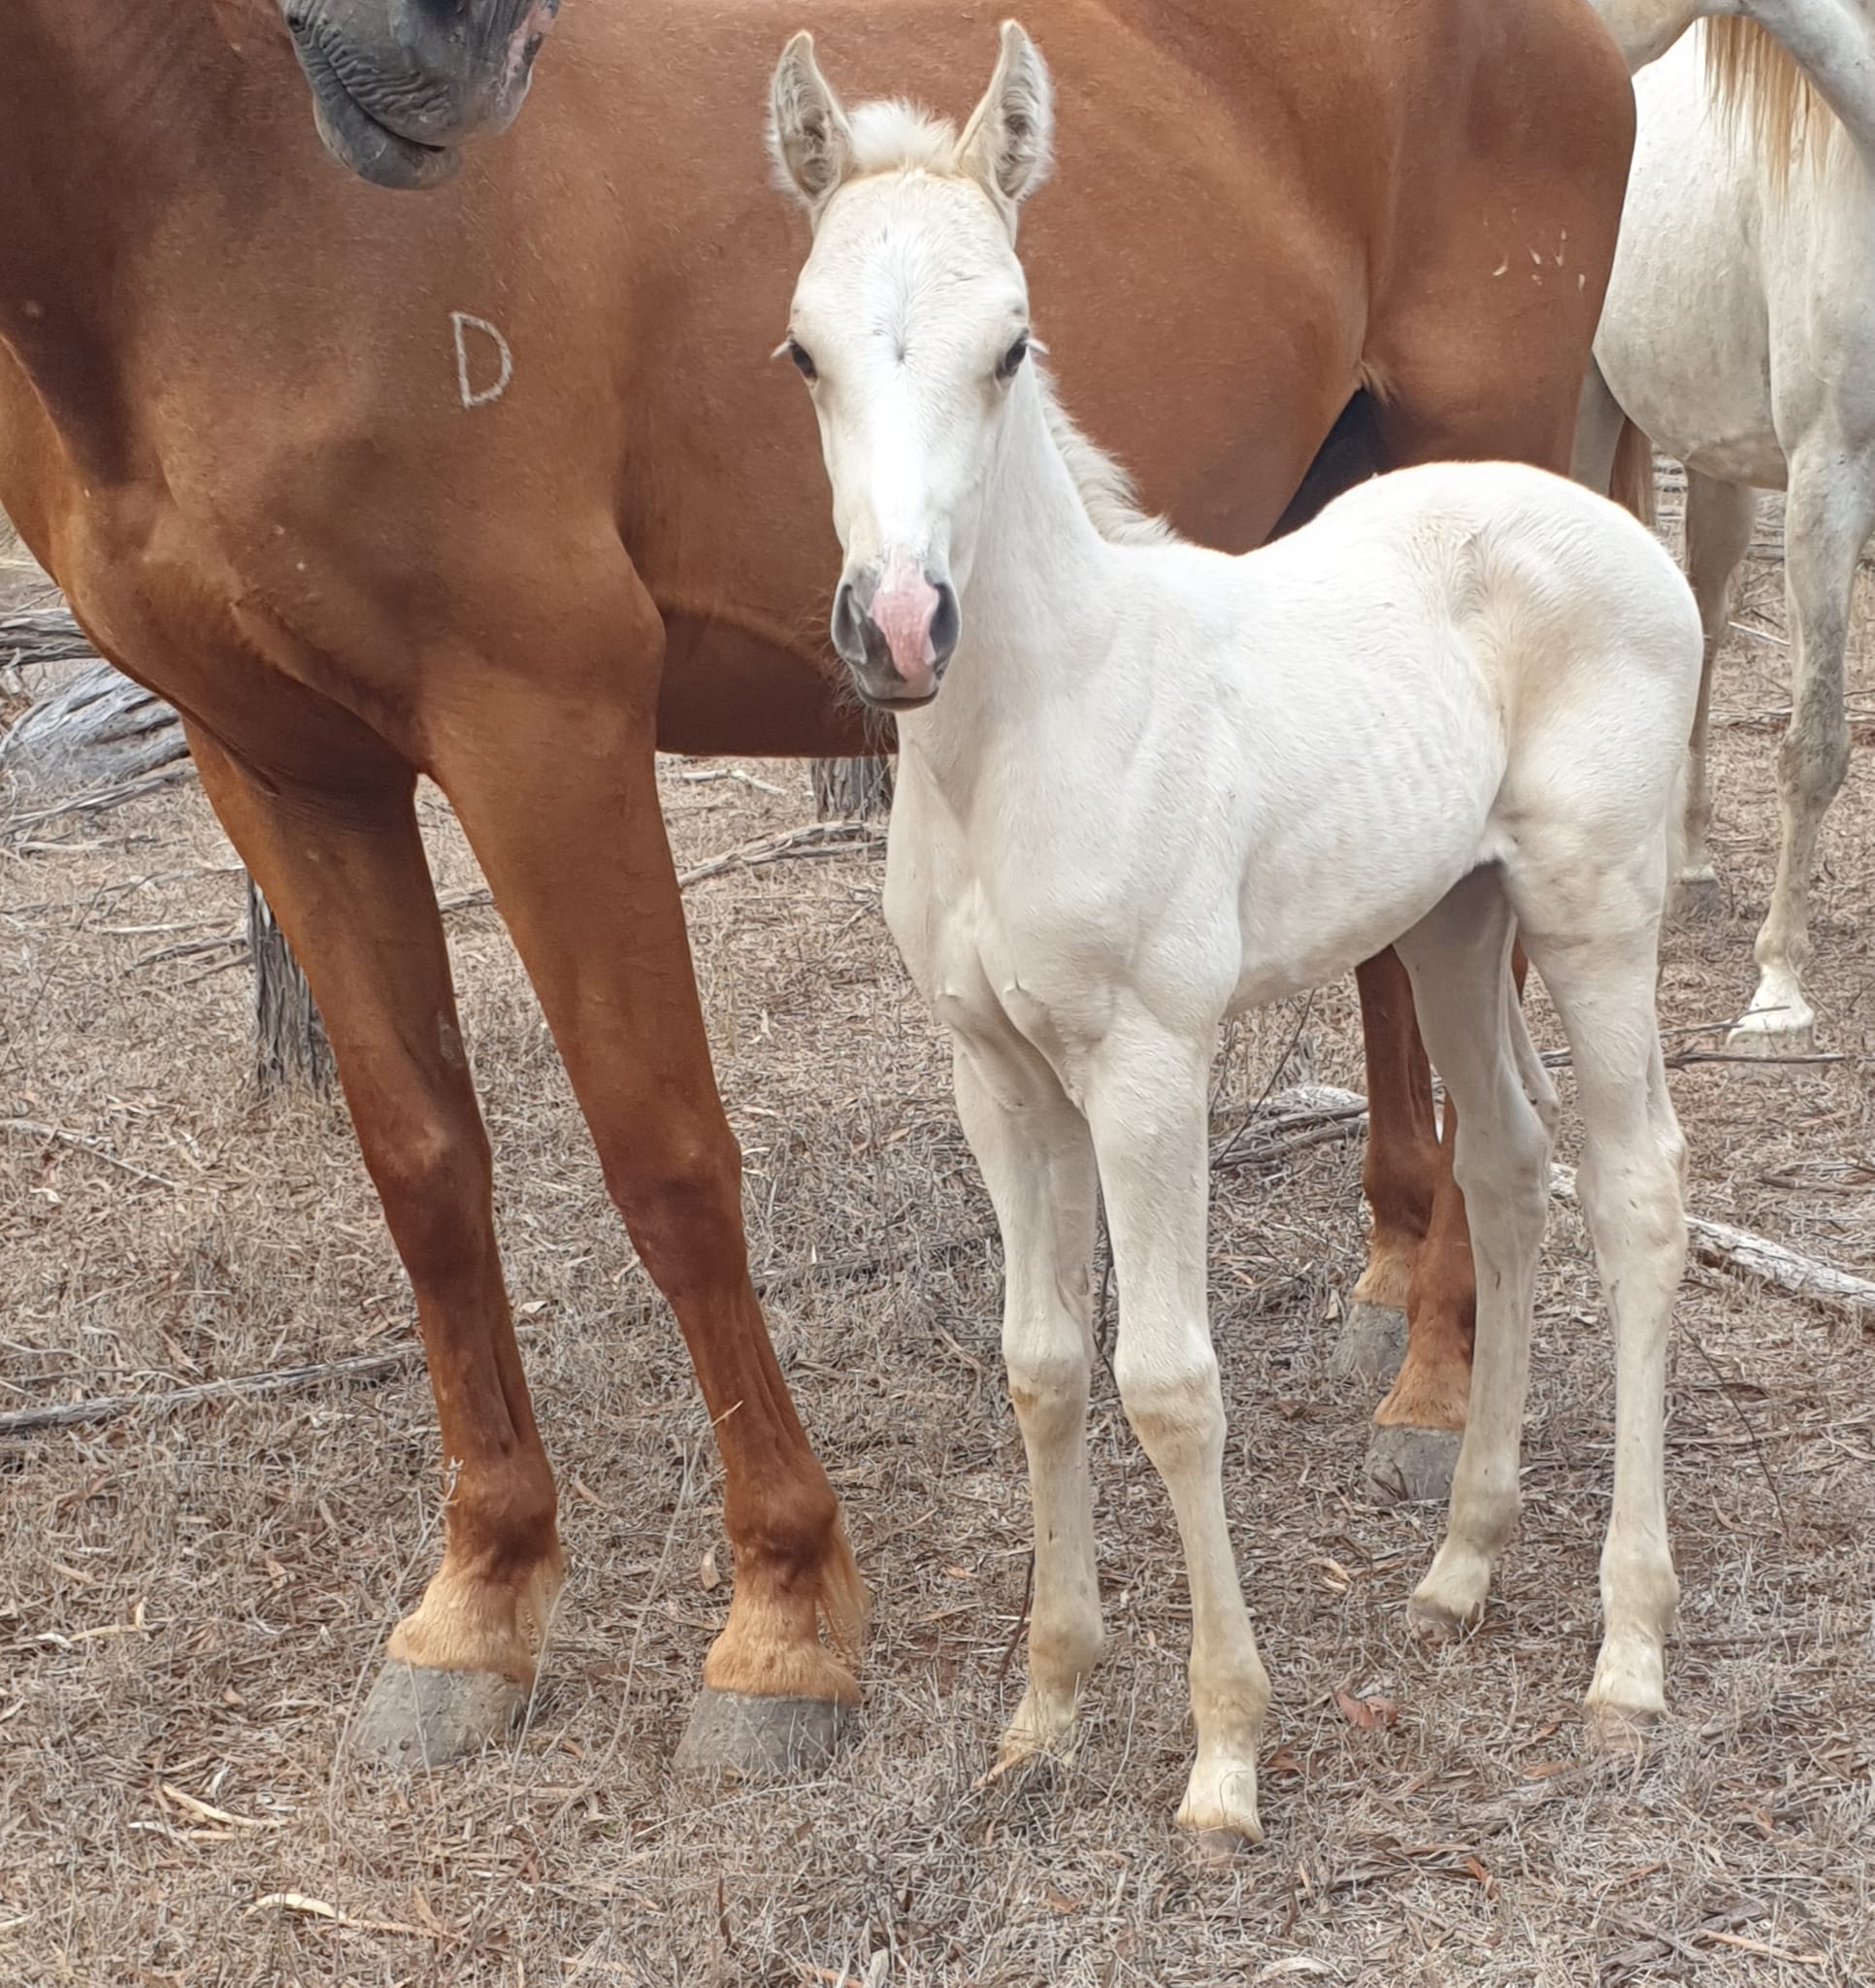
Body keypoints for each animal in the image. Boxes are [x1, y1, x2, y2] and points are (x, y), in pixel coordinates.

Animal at [0, 0, 1633, 1777]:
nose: (453, 40)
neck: (215, 202)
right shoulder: (279, 767)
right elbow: (423, 1172)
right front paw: (480, 1594)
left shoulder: (543, 723)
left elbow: (666, 1163)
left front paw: (781, 1618)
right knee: (1392, 949)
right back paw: (1400, 1288)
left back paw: (1439, 1380)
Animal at [769, 22, 1701, 1848]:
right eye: (803, 353)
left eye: (1011, 348)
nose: (898, 627)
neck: (1028, 732)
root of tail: (1615, 525)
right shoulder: (996, 1072)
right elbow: (1043, 1362)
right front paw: (1046, 1710)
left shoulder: (1147, 1063)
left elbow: (1168, 1383)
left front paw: (1221, 1754)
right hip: (1451, 921)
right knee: (1510, 1169)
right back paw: (1461, 1563)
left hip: (1593, 910)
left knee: (1637, 1191)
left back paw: (1629, 1653)